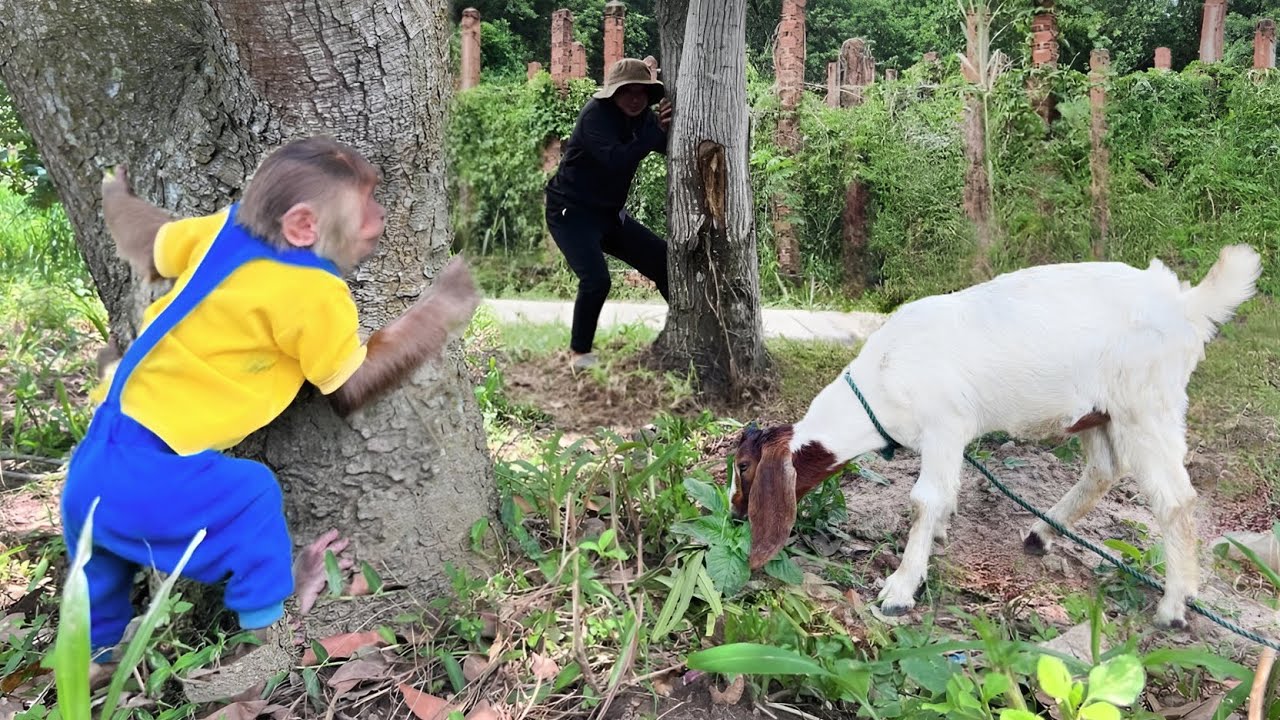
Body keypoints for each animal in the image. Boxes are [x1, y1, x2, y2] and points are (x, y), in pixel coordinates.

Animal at [730, 245, 1262, 628]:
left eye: (742, 467)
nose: (736, 513)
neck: (883, 376)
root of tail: (1184, 305)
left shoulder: (944, 426)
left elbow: (924, 498)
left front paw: (900, 589)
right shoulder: (951, 440)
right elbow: (945, 494)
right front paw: (940, 534)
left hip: (1147, 407)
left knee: (1175, 500)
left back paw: (1174, 606)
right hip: (1098, 414)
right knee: (1104, 471)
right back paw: (1041, 533)